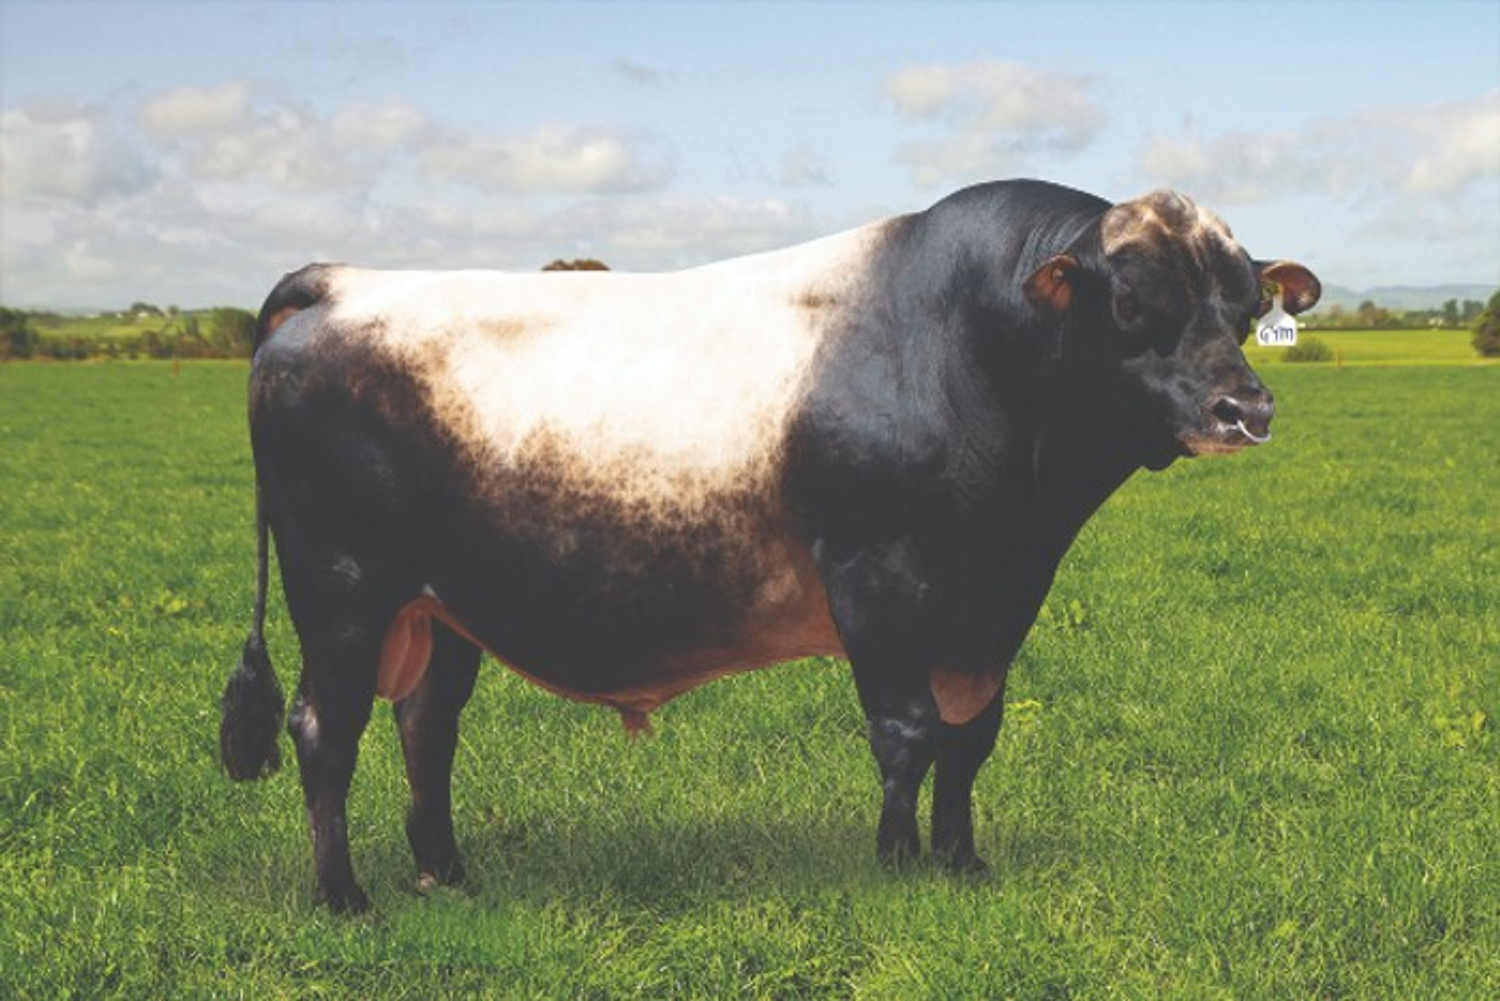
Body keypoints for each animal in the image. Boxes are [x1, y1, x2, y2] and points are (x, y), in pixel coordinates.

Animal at [219, 179, 1319, 913]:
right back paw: (346, 898)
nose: (1246, 407)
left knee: (425, 724)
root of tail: (343, 284)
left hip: (440, 603)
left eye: (1244, 306)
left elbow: (970, 738)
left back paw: (445, 872)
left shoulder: (994, 601)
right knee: (325, 728)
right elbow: (908, 730)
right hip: (343, 585)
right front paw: (897, 864)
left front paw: (962, 862)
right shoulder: (874, 571)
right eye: (1132, 300)